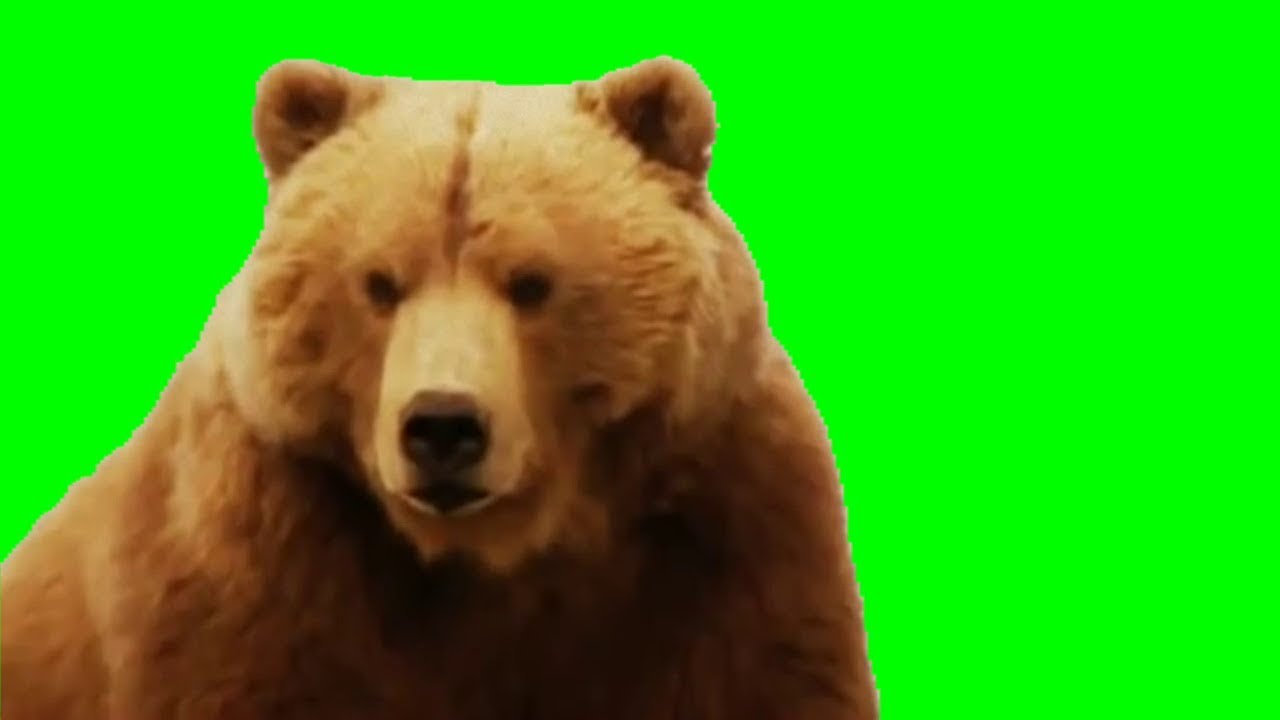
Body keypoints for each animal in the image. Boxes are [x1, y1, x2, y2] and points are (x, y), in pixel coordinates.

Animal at [0, 57, 879, 719]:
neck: (493, 556)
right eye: (379, 283)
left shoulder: (730, 543)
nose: (444, 425)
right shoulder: (252, 564)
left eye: (532, 283)